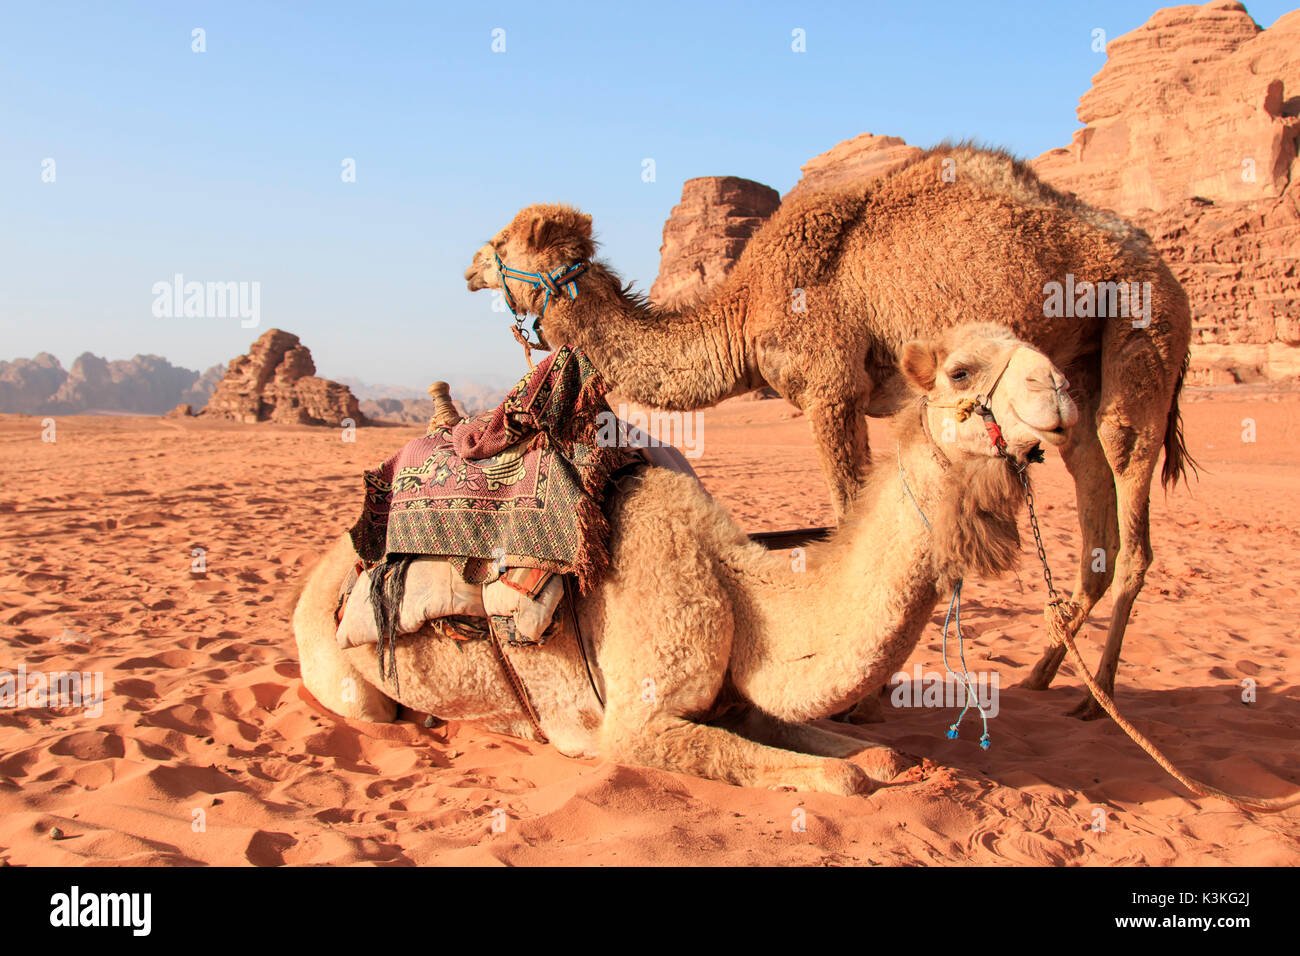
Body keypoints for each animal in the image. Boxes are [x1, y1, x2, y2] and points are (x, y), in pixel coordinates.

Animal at [293, 324, 1078, 794]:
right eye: (960, 371)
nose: (1061, 390)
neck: (735, 589)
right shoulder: (638, 727)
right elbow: (846, 779)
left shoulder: (742, 699)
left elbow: (880, 757)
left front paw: (889, 758)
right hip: (342, 675)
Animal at [463, 145, 1194, 719]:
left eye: (502, 242)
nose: (468, 267)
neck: (740, 315)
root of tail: (1162, 265)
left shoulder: (829, 389)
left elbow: (846, 511)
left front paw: (863, 701)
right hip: (1074, 387)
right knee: (1097, 524)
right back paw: (1047, 675)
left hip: (1144, 328)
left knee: (1130, 516)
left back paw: (1098, 696)